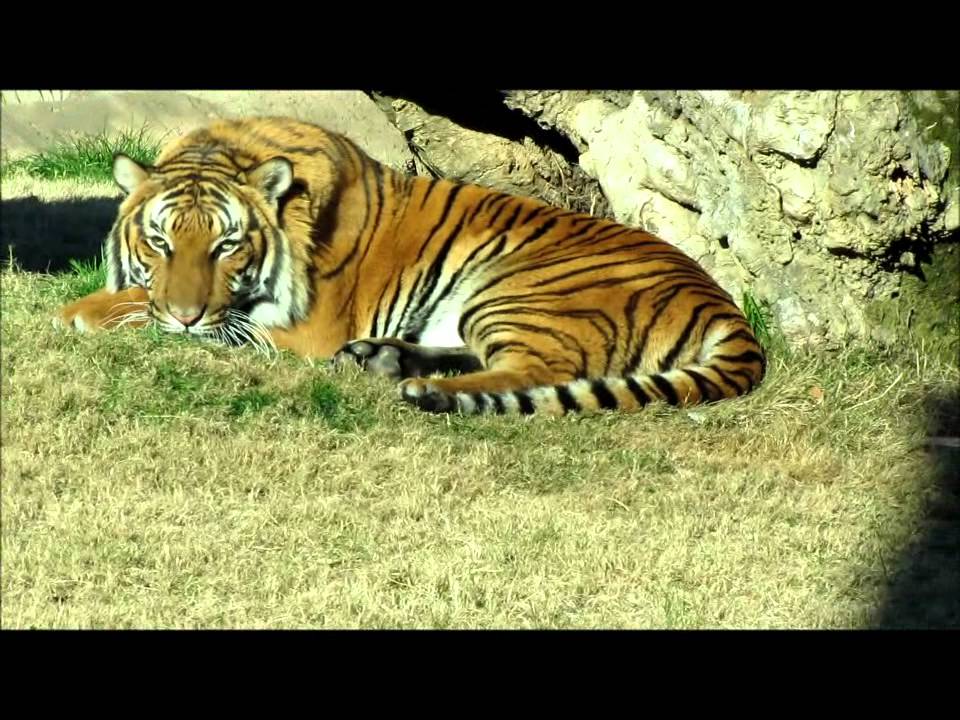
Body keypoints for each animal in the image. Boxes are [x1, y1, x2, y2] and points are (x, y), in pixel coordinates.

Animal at [57, 116, 766, 416]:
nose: (184, 314)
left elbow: (179, 315)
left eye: (226, 247)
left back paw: (424, 389)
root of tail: (722, 303)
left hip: (518, 290)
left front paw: (83, 313)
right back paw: (383, 358)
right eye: (160, 243)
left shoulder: (304, 326)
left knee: (541, 370)